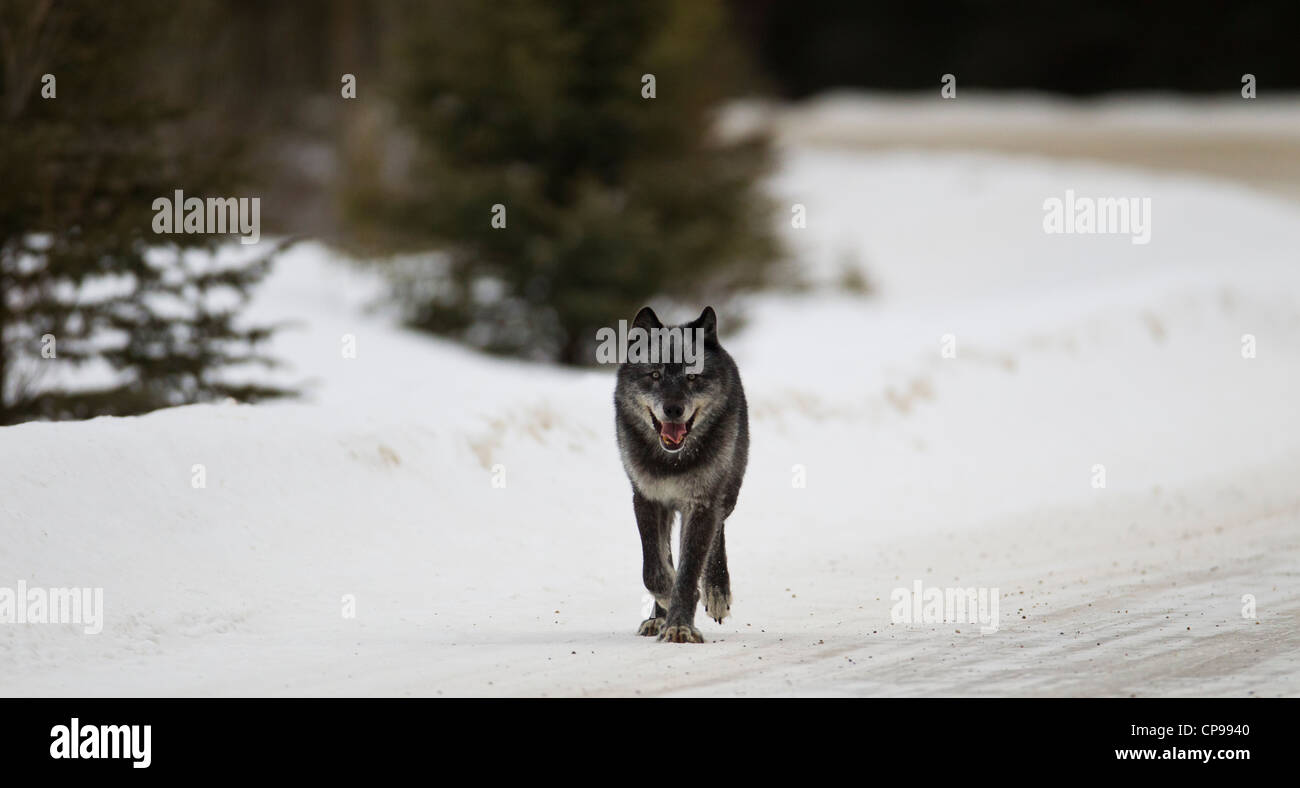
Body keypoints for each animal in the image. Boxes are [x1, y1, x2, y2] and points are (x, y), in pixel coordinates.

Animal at [613, 306, 749, 643]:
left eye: (692, 377)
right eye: (655, 375)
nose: (673, 409)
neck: (672, 461)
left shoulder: (702, 504)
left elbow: (689, 573)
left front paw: (680, 625)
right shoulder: (646, 499)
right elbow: (654, 569)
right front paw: (665, 603)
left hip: (726, 495)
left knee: (717, 535)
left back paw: (716, 591)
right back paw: (656, 618)